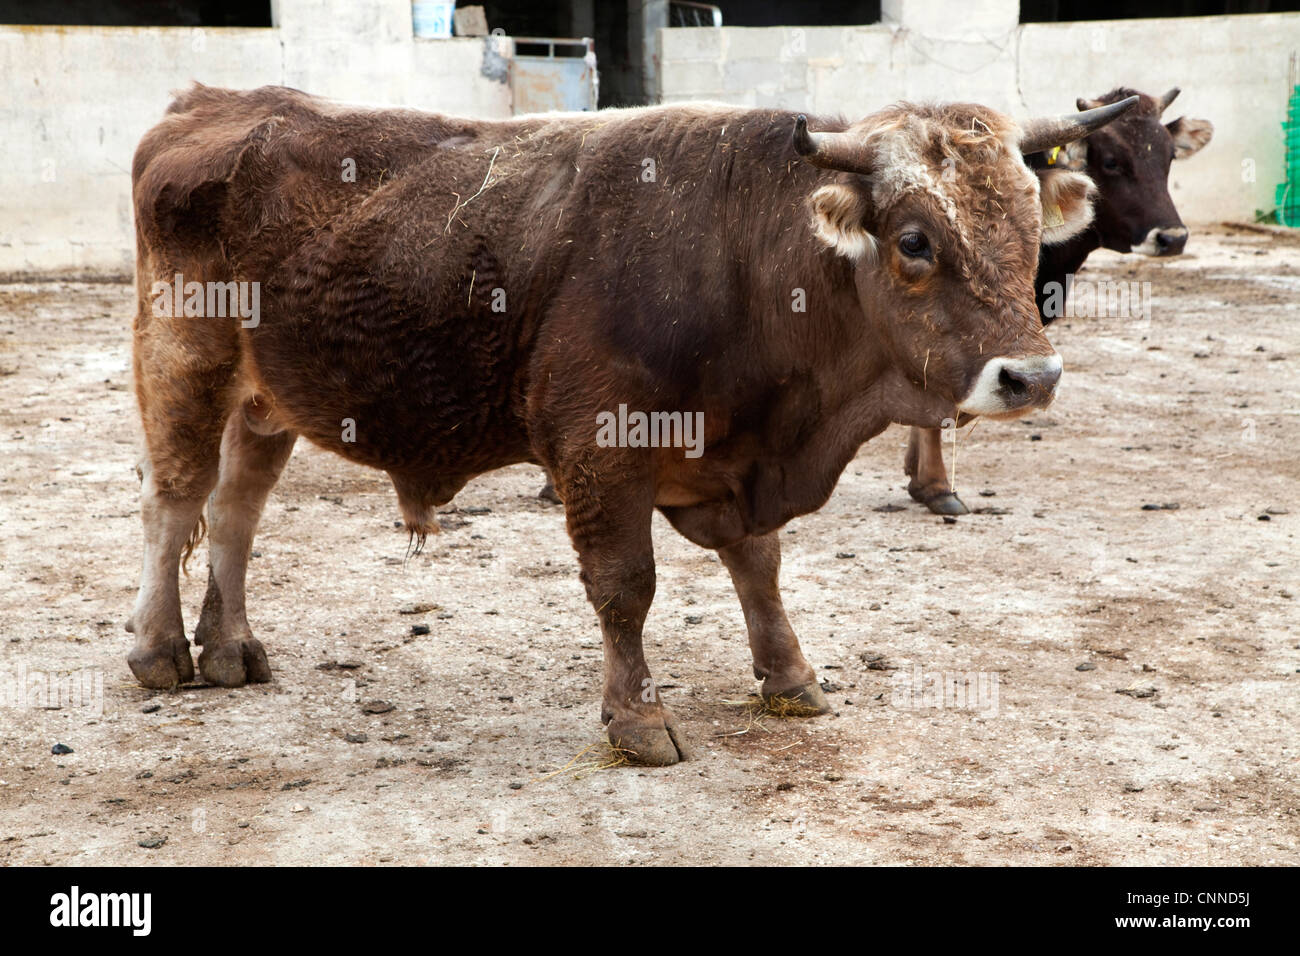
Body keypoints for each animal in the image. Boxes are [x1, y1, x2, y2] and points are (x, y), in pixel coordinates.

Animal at [127, 85, 1135, 765]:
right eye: (916, 241)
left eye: (1027, 231)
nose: (1032, 375)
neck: (750, 258)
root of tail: (214, 102)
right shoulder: (601, 452)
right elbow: (626, 588)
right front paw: (639, 719)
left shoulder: (731, 460)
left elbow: (759, 569)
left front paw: (790, 675)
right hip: (182, 362)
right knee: (175, 504)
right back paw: (160, 650)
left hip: (266, 401)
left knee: (236, 511)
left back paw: (230, 647)